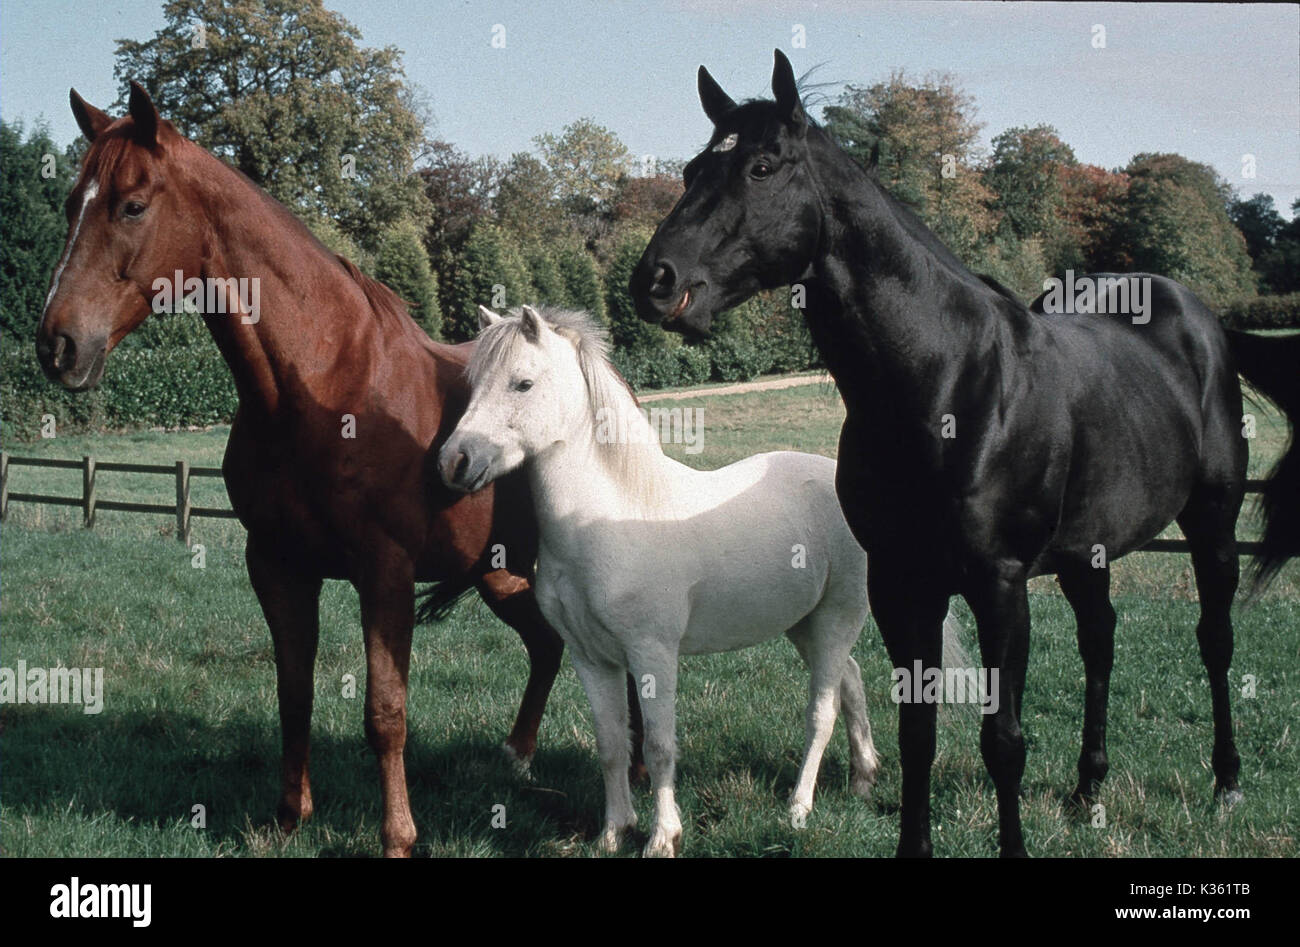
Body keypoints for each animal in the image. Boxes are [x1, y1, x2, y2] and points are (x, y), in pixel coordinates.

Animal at [35, 82, 641, 857]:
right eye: (69, 201)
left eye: (132, 204)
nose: (58, 344)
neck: (324, 386)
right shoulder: (278, 565)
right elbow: (293, 694)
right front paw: (289, 816)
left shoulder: (383, 572)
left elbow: (385, 710)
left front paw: (398, 836)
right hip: (503, 573)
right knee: (544, 642)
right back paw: (517, 755)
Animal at [429, 303, 967, 856]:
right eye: (473, 385)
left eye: (523, 383)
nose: (454, 461)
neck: (604, 517)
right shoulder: (590, 658)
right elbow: (611, 744)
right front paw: (613, 833)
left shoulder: (652, 654)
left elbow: (659, 746)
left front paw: (662, 837)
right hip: (805, 625)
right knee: (853, 681)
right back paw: (862, 780)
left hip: (839, 617)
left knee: (823, 711)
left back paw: (799, 808)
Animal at [629, 50, 1299, 857]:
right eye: (694, 168)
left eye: (762, 167)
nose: (654, 281)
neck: (947, 384)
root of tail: (1204, 321)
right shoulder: (901, 582)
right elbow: (917, 732)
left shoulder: (999, 585)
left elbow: (1002, 739)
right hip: (1087, 553)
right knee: (1100, 643)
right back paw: (1088, 788)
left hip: (1212, 523)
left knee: (1215, 641)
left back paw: (1226, 784)